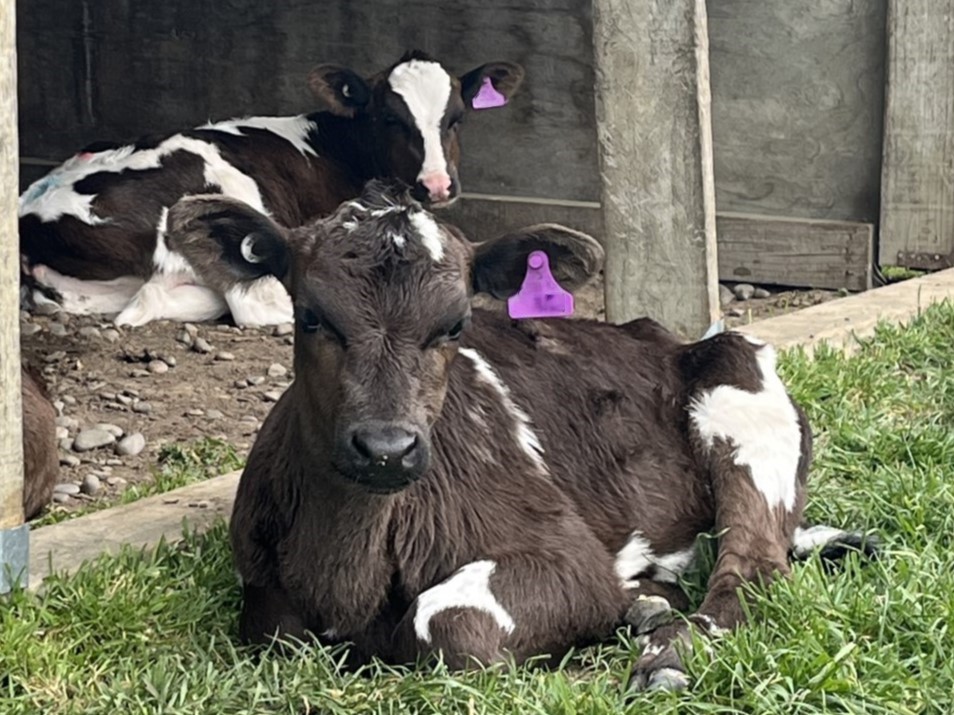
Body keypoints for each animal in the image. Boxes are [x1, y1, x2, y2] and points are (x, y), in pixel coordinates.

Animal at [165, 181, 875, 691]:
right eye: (310, 316)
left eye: (454, 324)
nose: (387, 448)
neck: (346, 571)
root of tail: (656, 332)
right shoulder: (263, 589)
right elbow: (278, 630)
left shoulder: (567, 555)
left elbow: (446, 623)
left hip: (741, 394)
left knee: (750, 571)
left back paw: (666, 655)